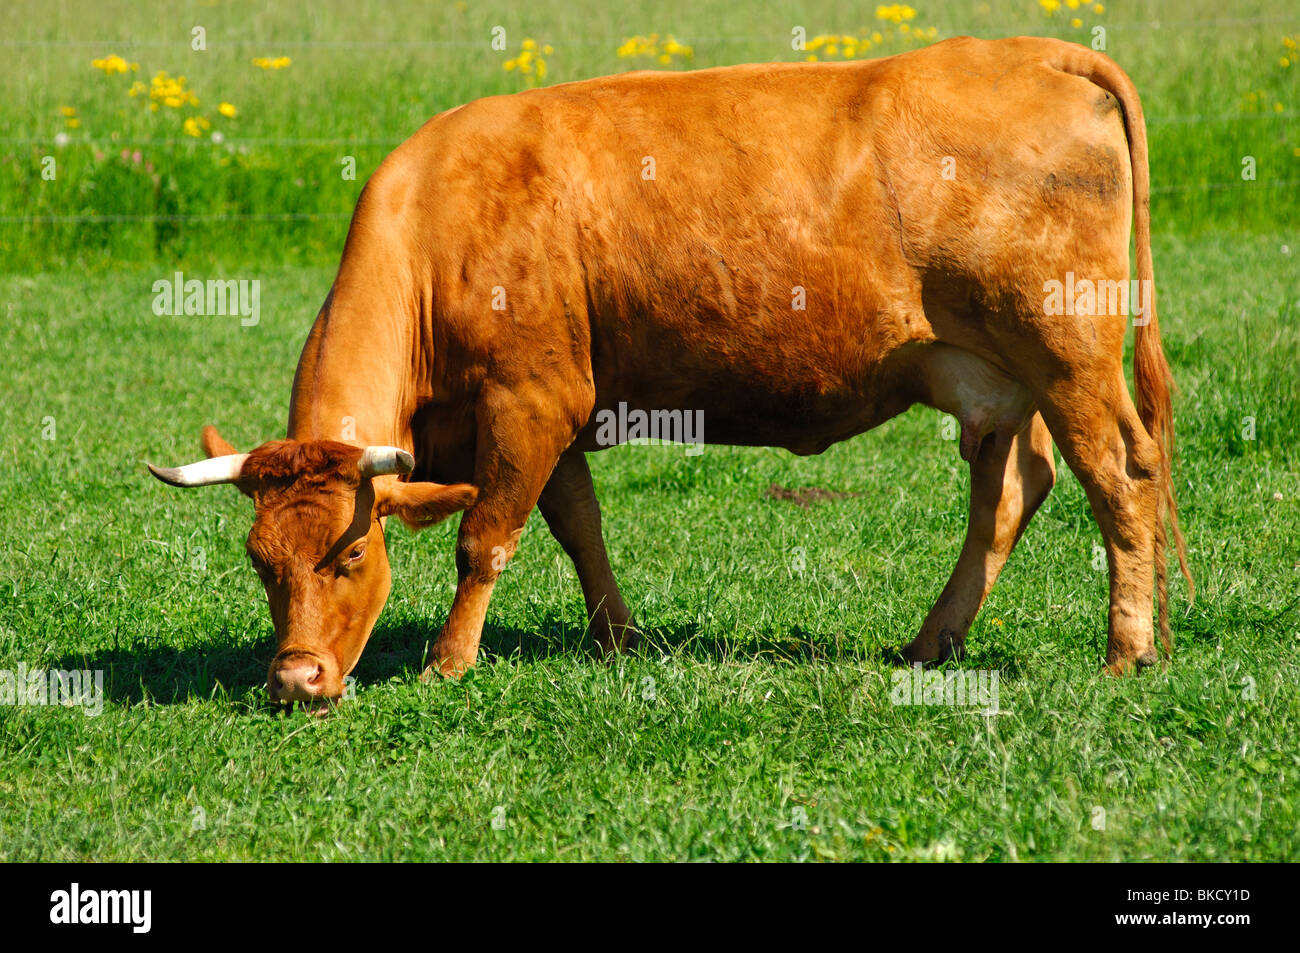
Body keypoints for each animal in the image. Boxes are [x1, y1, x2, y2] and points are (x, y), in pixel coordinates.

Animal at [149, 36, 1192, 707]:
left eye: (353, 555)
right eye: (260, 562)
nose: (295, 680)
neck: (436, 225)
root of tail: (1031, 48)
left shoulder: (529, 400)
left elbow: (484, 538)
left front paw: (448, 661)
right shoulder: (557, 408)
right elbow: (578, 525)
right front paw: (616, 637)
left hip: (1067, 355)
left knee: (1121, 476)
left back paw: (1126, 650)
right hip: (996, 376)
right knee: (1011, 491)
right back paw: (934, 640)